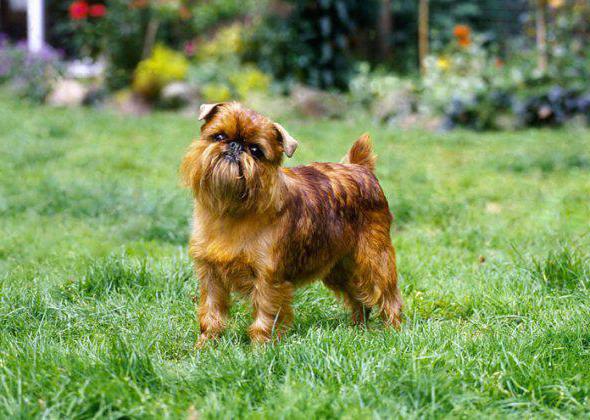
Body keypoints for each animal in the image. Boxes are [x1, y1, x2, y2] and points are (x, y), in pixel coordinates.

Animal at [180, 101, 402, 344]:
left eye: (256, 150)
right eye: (219, 136)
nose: (235, 146)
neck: (232, 209)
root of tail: (360, 167)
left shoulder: (268, 278)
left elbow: (265, 315)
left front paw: (260, 347)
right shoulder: (210, 274)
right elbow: (211, 312)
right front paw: (206, 344)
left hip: (374, 258)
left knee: (387, 295)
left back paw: (393, 330)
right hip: (338, 267)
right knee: (358, 297)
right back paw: (358, 329)